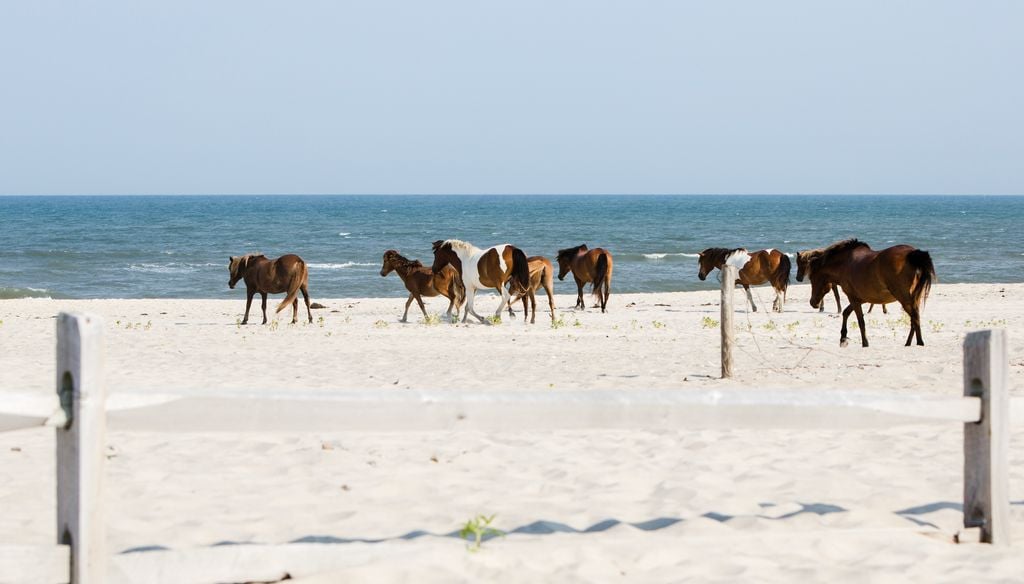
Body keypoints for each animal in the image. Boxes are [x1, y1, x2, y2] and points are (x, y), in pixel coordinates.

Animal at [806, 239, 935, 347]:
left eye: (812, 278)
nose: (813, 303)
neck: (845, 263)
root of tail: (912, 254)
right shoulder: (861, 299)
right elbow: (846, 313)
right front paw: (843, 338)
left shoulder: (853, 298)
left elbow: (860, 321)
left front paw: (864, 343)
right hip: (914, 299)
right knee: (914, 319)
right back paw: (908, 343)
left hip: (904, 299)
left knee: (915, 318)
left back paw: (919, 343)